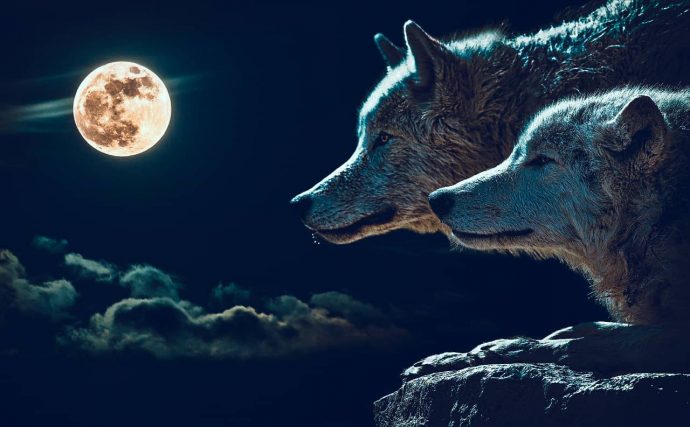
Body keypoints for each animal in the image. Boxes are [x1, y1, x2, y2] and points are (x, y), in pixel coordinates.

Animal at [407, 87, 690, 379]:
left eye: (542, 160)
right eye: (515, 154)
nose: (437, 199)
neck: (660, 220)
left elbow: (597, 342)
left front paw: (511, 348)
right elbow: (593, 328)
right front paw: (454, 357)